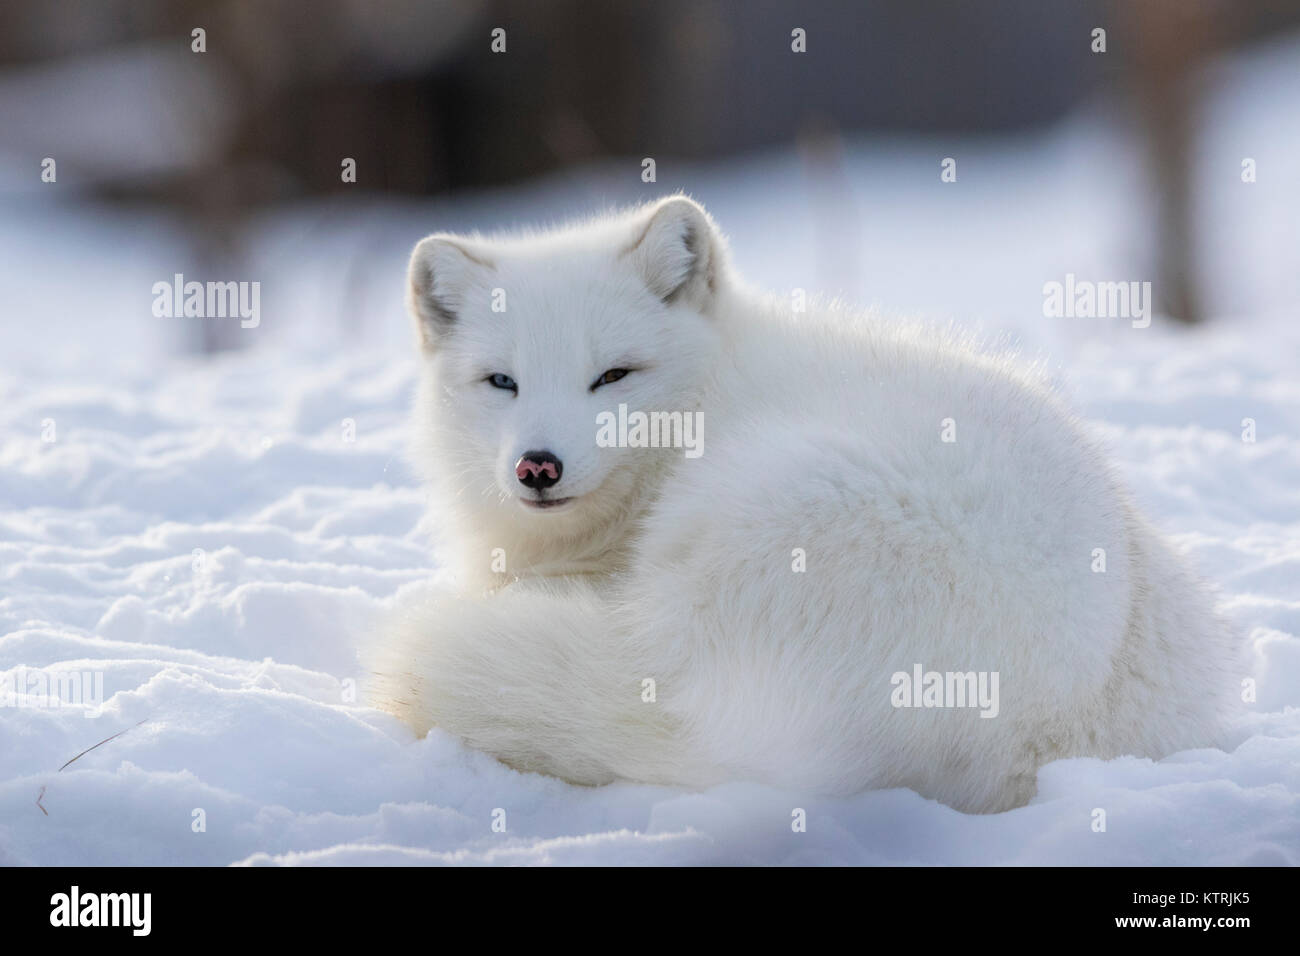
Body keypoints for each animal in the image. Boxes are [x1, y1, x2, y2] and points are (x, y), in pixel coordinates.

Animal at [366, 195, 1238, 813]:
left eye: (613, 375)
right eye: (501, 382)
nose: (537, 466)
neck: (712, 390)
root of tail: (1037, 728)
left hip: (749, 517)